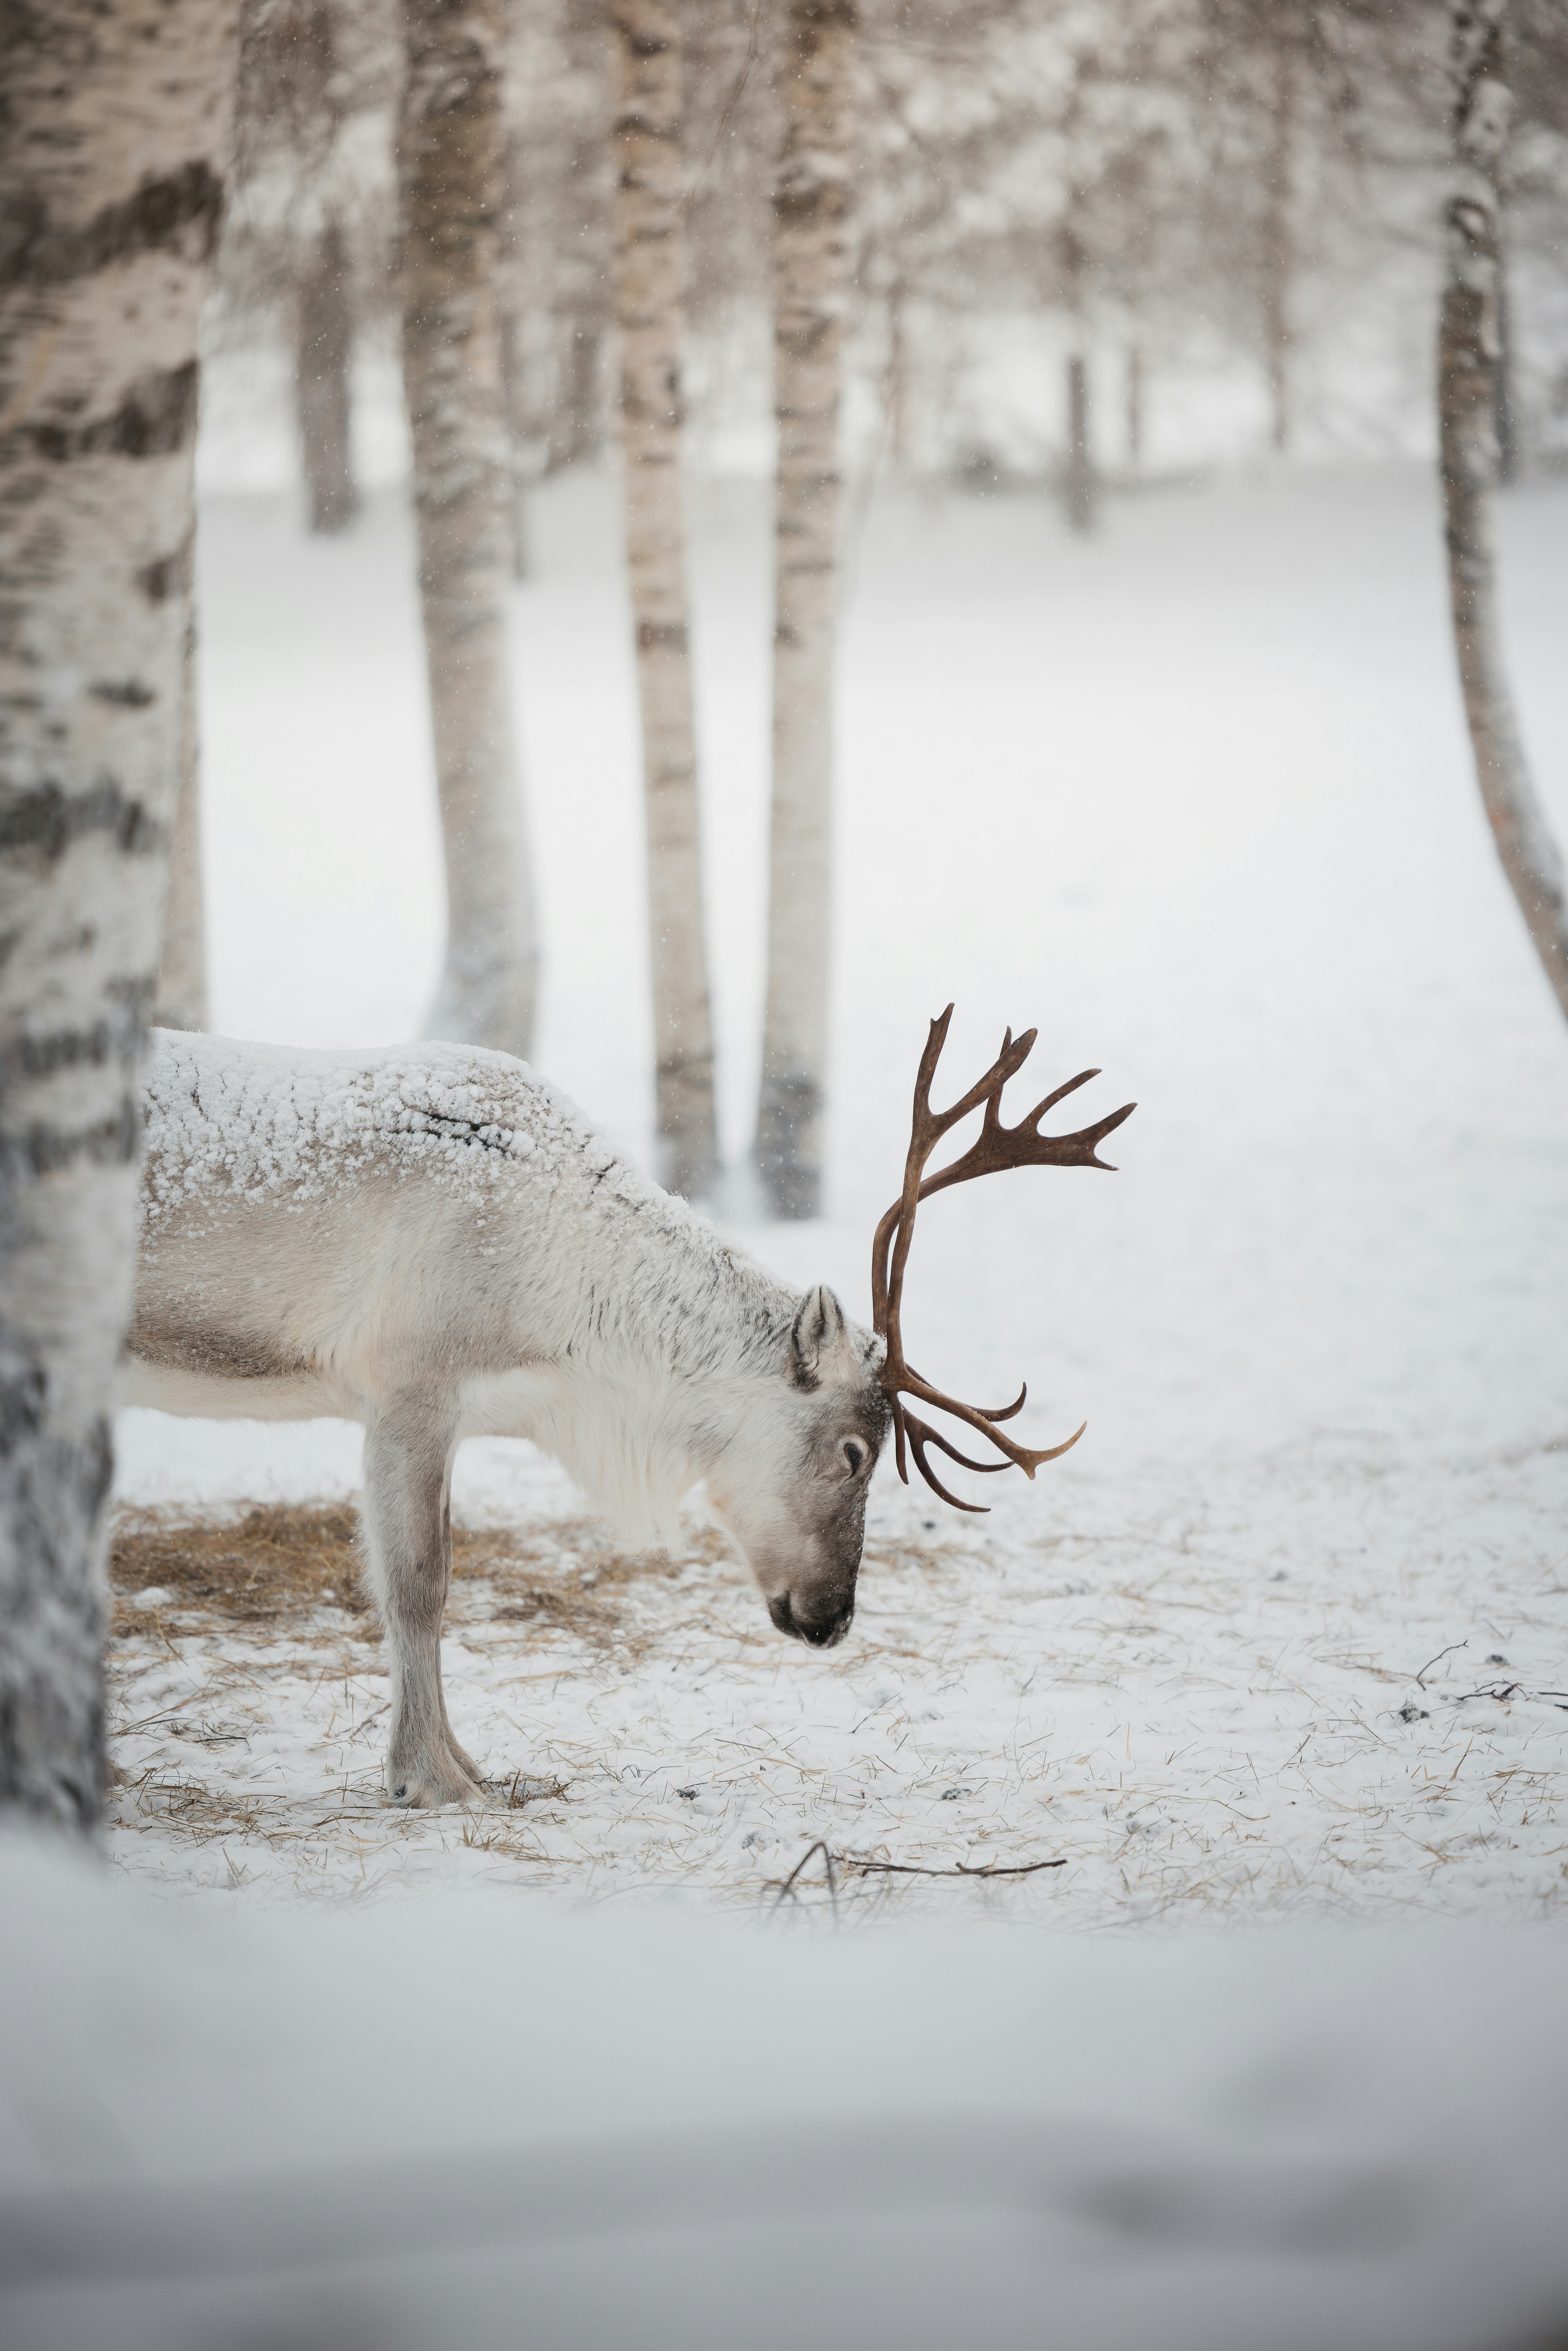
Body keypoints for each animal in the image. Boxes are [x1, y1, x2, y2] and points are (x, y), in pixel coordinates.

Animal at [126, 1010, 1133, 1806]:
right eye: (854, 1452)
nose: (833, 1618)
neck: (570, 1335)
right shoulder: (407, 1388)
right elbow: (417, 1585)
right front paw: (431, 1781)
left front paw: (470, 1764)